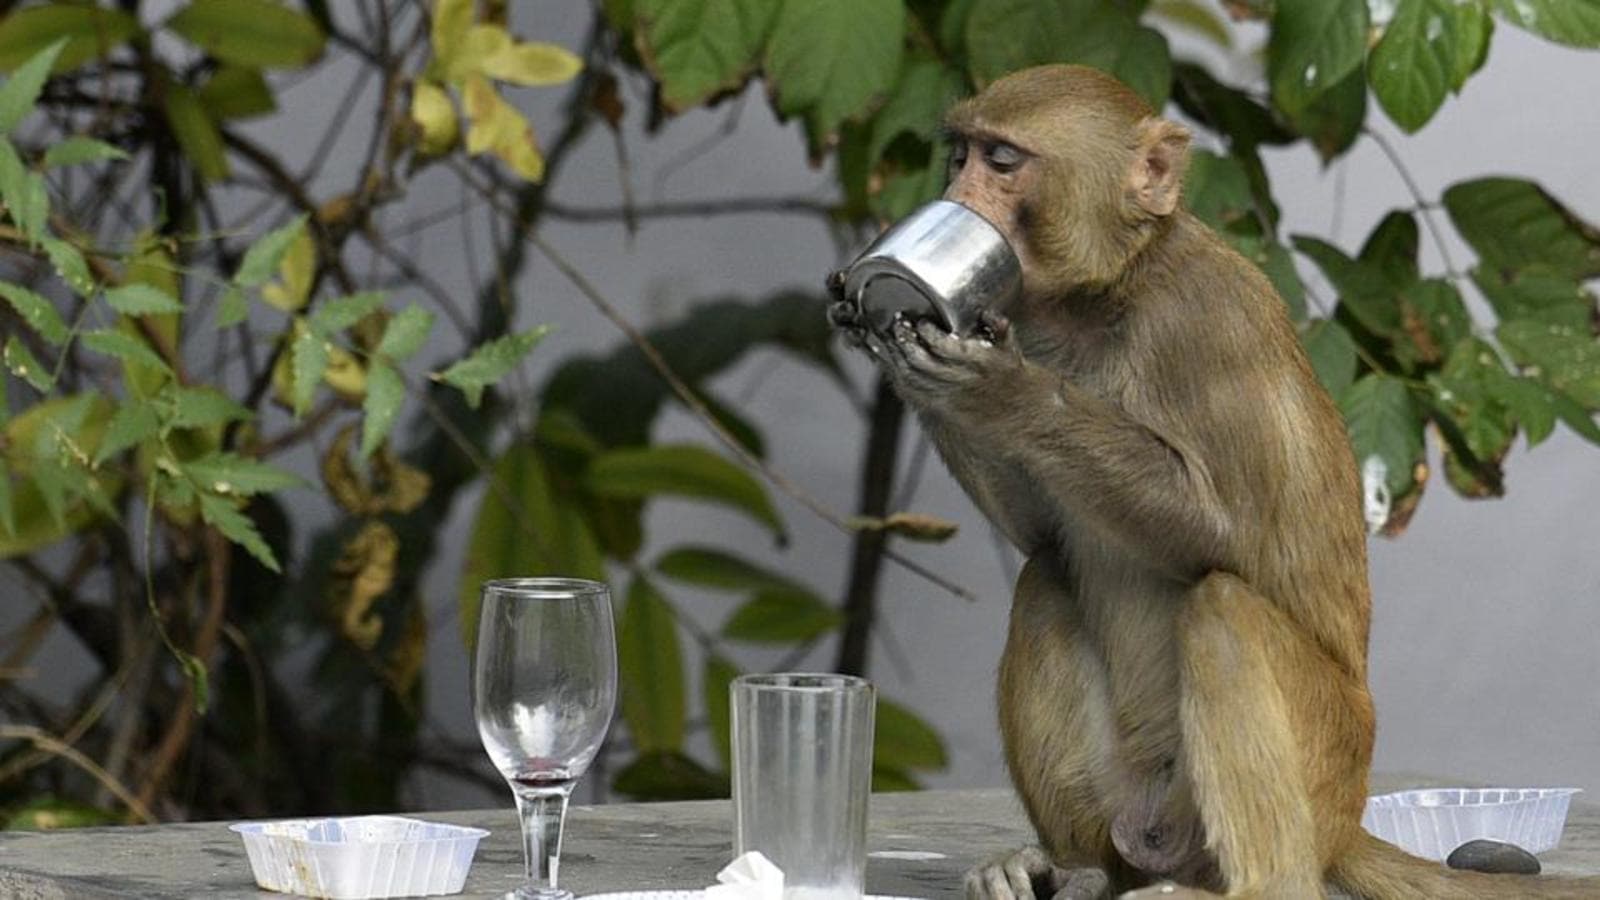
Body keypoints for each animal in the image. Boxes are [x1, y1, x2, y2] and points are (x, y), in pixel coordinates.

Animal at [827, 65, 1598, 899]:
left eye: (1001, 161)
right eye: (960, 154)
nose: (956, 192)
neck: (1110, 295)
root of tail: (1345, 823)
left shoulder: (1206, 324)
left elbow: (1221, 532)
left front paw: (1004, 392)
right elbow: (1040, 534)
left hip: (1323, 765)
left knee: (1223, 609)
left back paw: (1265, 885)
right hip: (1133, 803)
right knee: (1045, 579)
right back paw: (1073, 866)